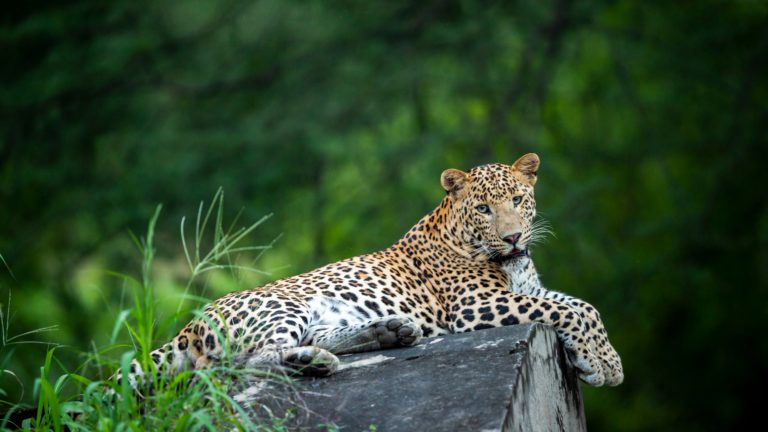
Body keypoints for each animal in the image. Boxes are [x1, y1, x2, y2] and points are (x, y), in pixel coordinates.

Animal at [117, 153, 623, 391]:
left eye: (519, 199)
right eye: (483, 208)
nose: (515, 237)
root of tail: (190, 325)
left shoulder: (531, 289)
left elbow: (584, 306)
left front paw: (606, 360)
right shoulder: (476, 307)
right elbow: (573, 312)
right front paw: (602, 366)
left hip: (316, 315)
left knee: (311, 340)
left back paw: (389, 332)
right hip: (279, 305)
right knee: (249, 363)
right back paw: (316, 362)